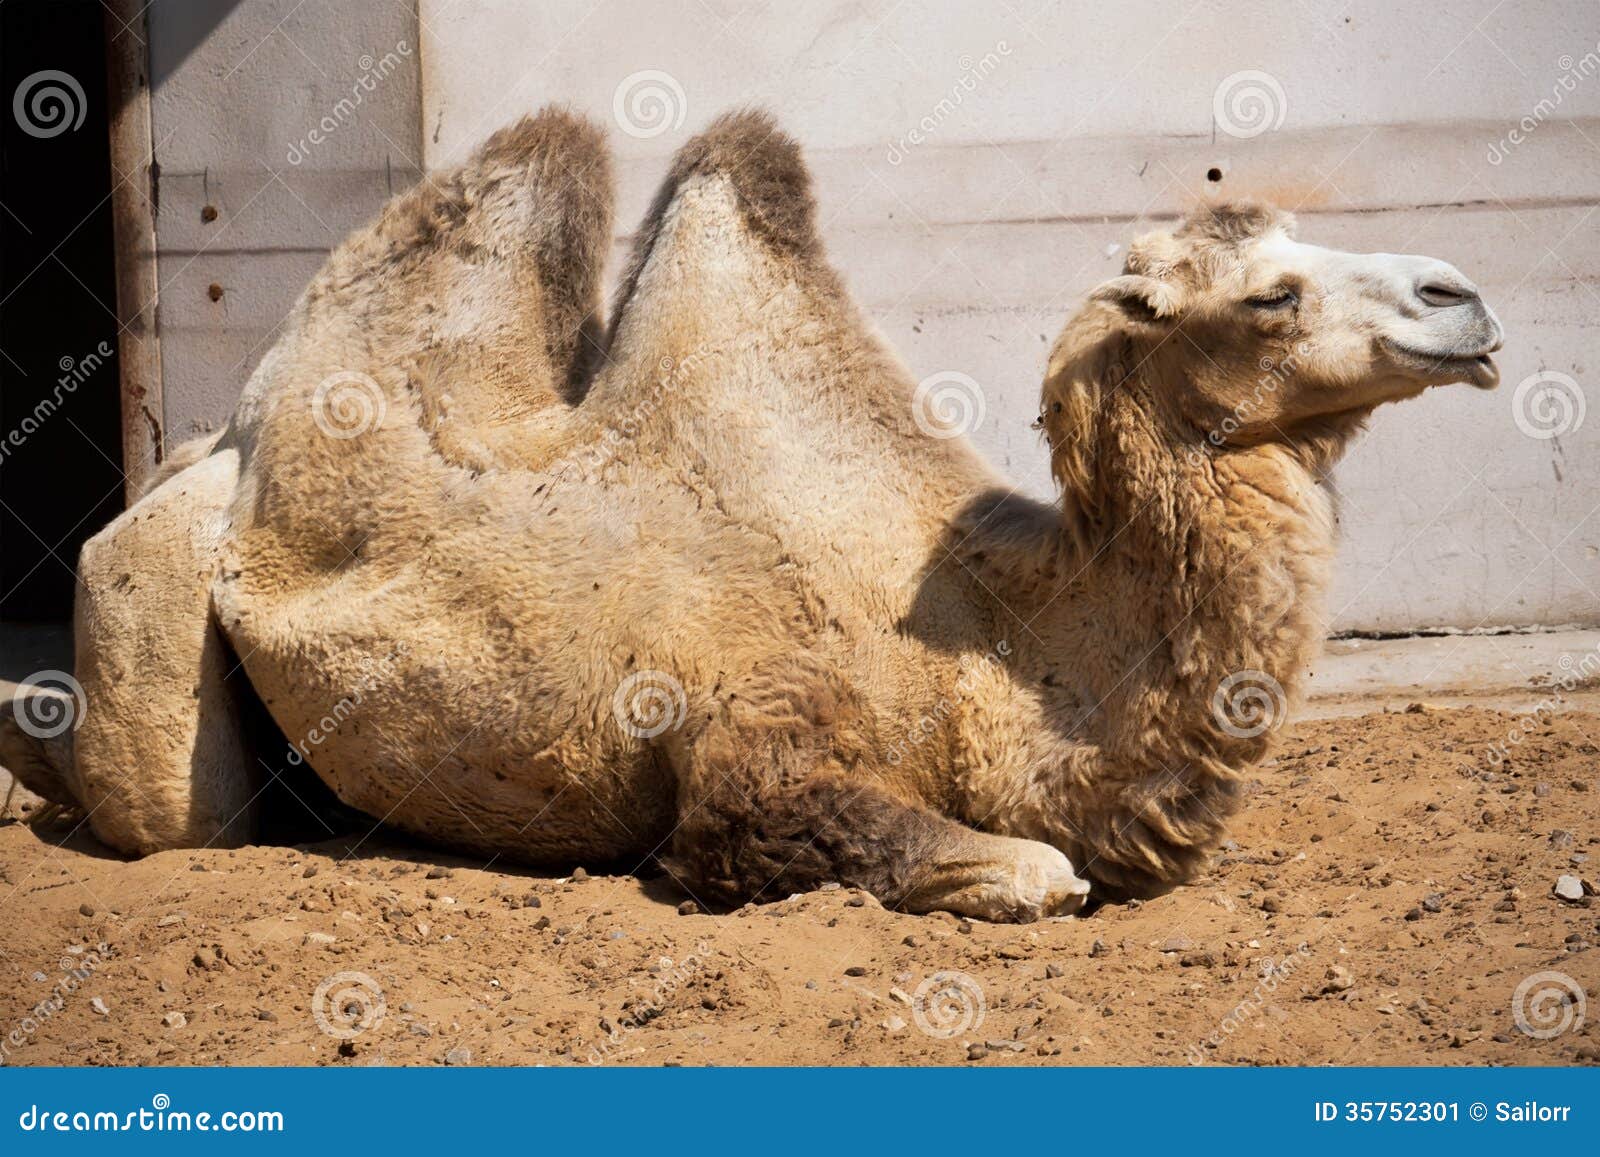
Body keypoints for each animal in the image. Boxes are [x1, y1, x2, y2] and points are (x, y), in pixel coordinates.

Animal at [1, 108, 1503, 921]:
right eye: (1270, 294)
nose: (1464, 296)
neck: (988, 639)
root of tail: (213, 438)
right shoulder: (748, 750)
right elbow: (1019, 865)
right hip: (150, 602)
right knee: (172, 809)